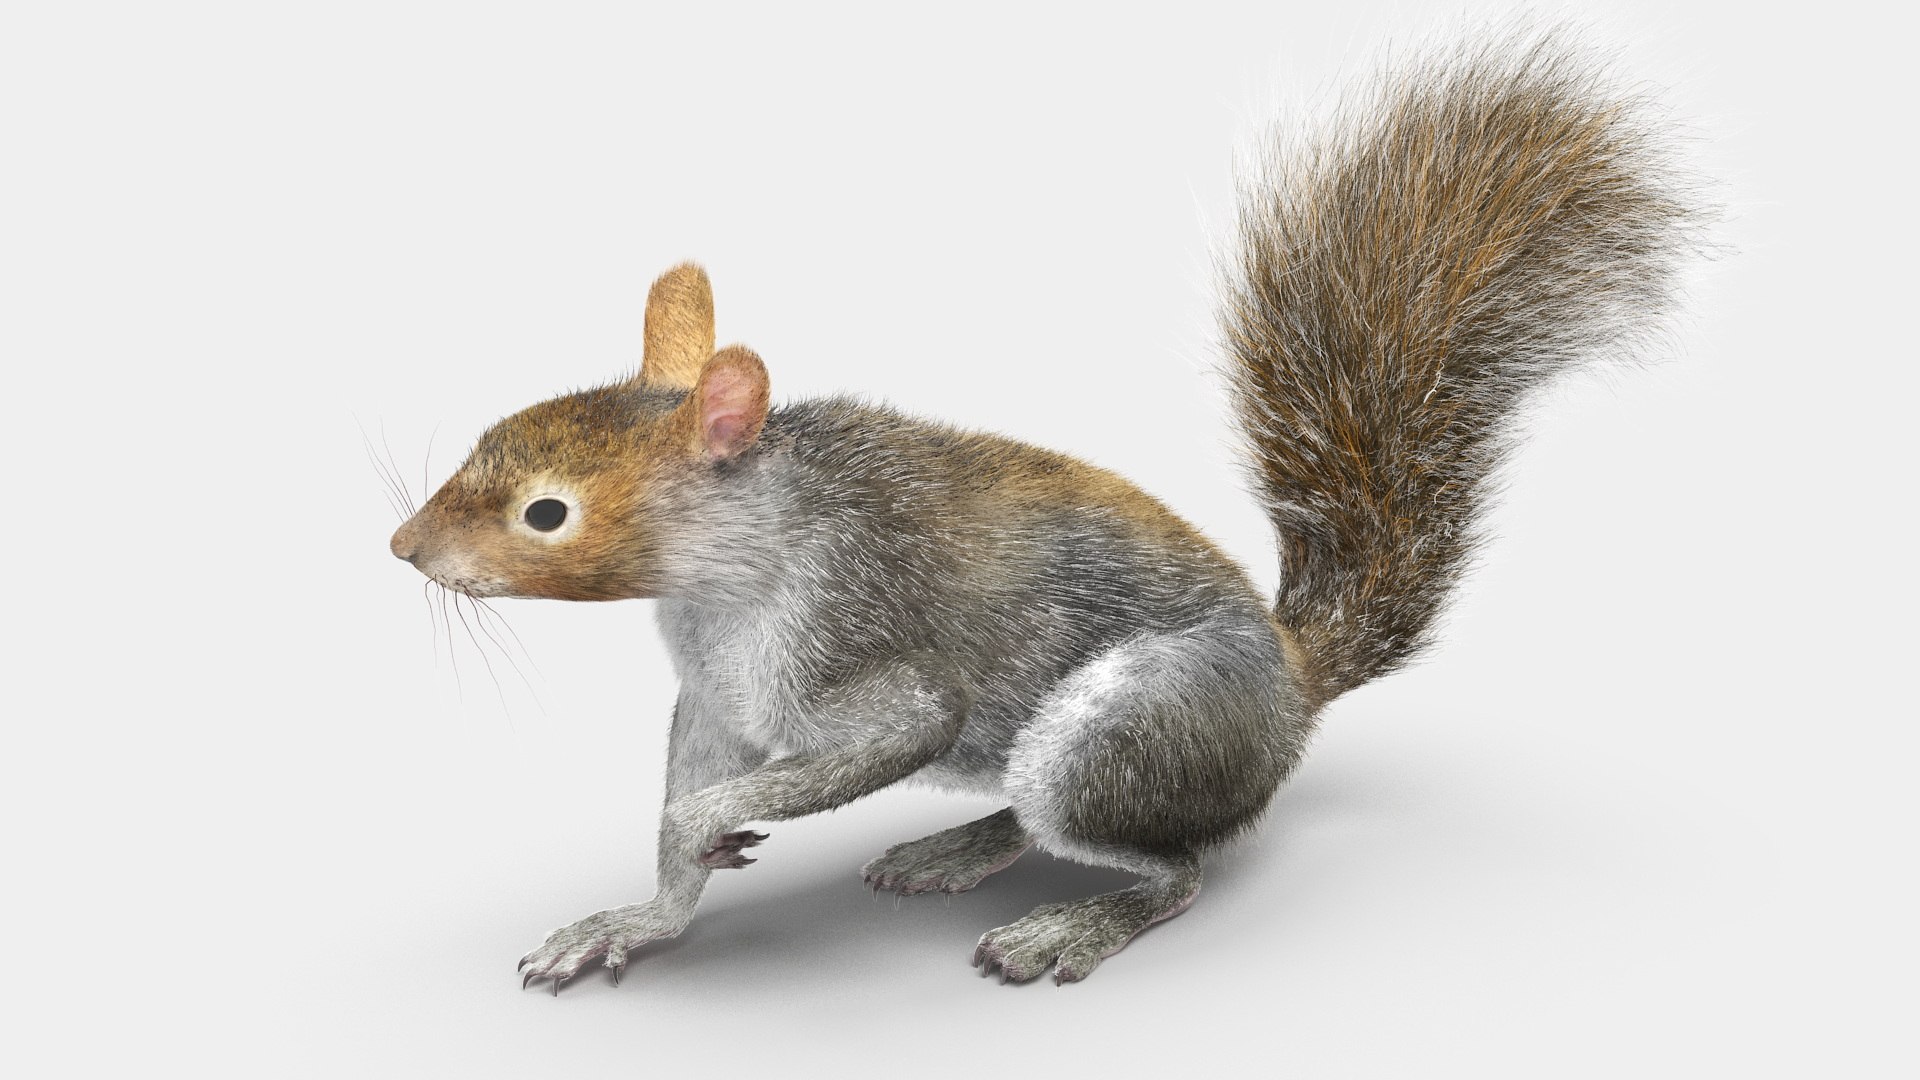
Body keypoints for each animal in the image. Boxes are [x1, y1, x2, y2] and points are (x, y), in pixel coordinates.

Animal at [388, 32, 1699, 991]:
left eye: (546, 514)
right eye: (497, 430)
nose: (402, 548)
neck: (730, 572)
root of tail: (1290, 688)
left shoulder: (867, 651)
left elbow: (874, 739)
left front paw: (727, 819)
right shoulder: (716, 700)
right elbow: (674, 810)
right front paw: (639, 915)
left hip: (1129, 729)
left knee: (1173, 871)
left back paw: (1067, 925)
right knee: (1041, 821)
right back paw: (961, 844)